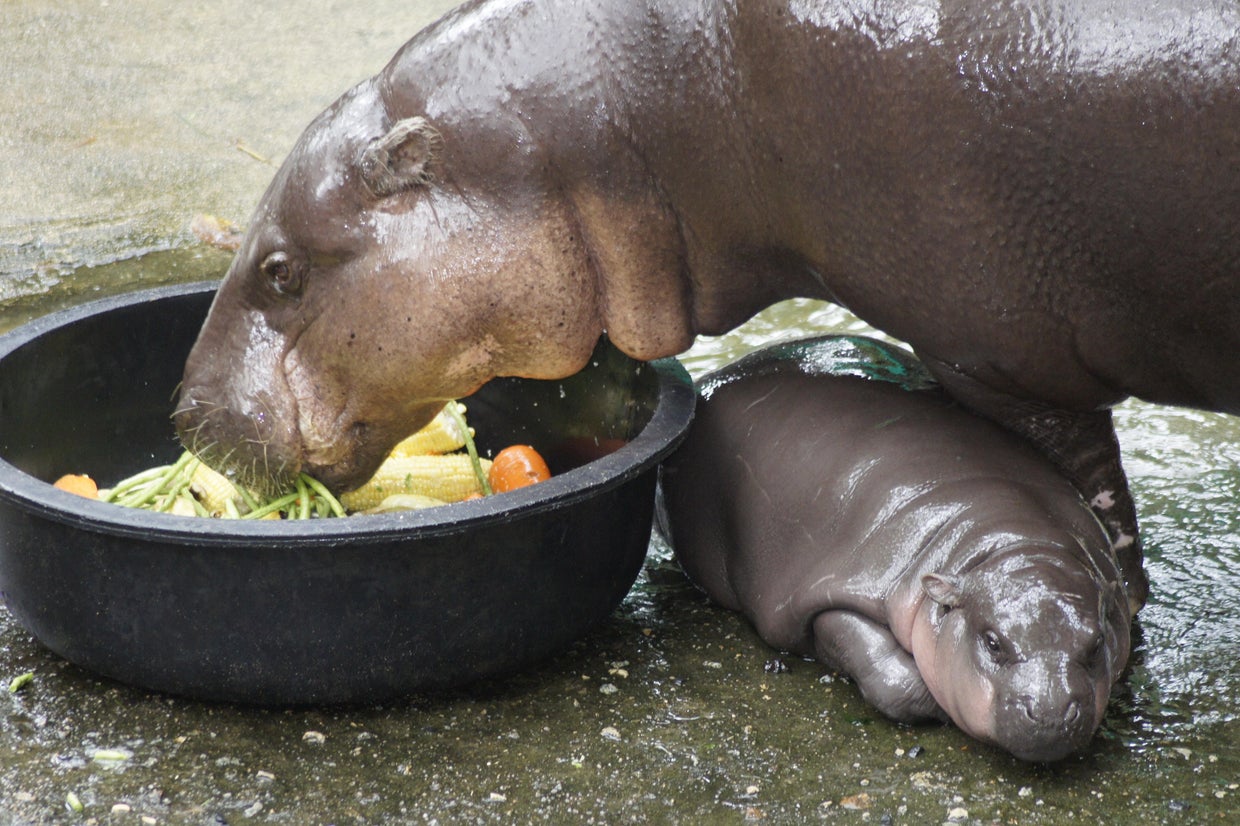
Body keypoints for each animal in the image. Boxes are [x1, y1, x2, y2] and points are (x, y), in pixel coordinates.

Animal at [658, 336, 1132, 762]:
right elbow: (880, 666)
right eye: (993, 642)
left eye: (1095, 645)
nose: (1051, 712)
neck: (1008, 540)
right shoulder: (842, 590)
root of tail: (718, 377)